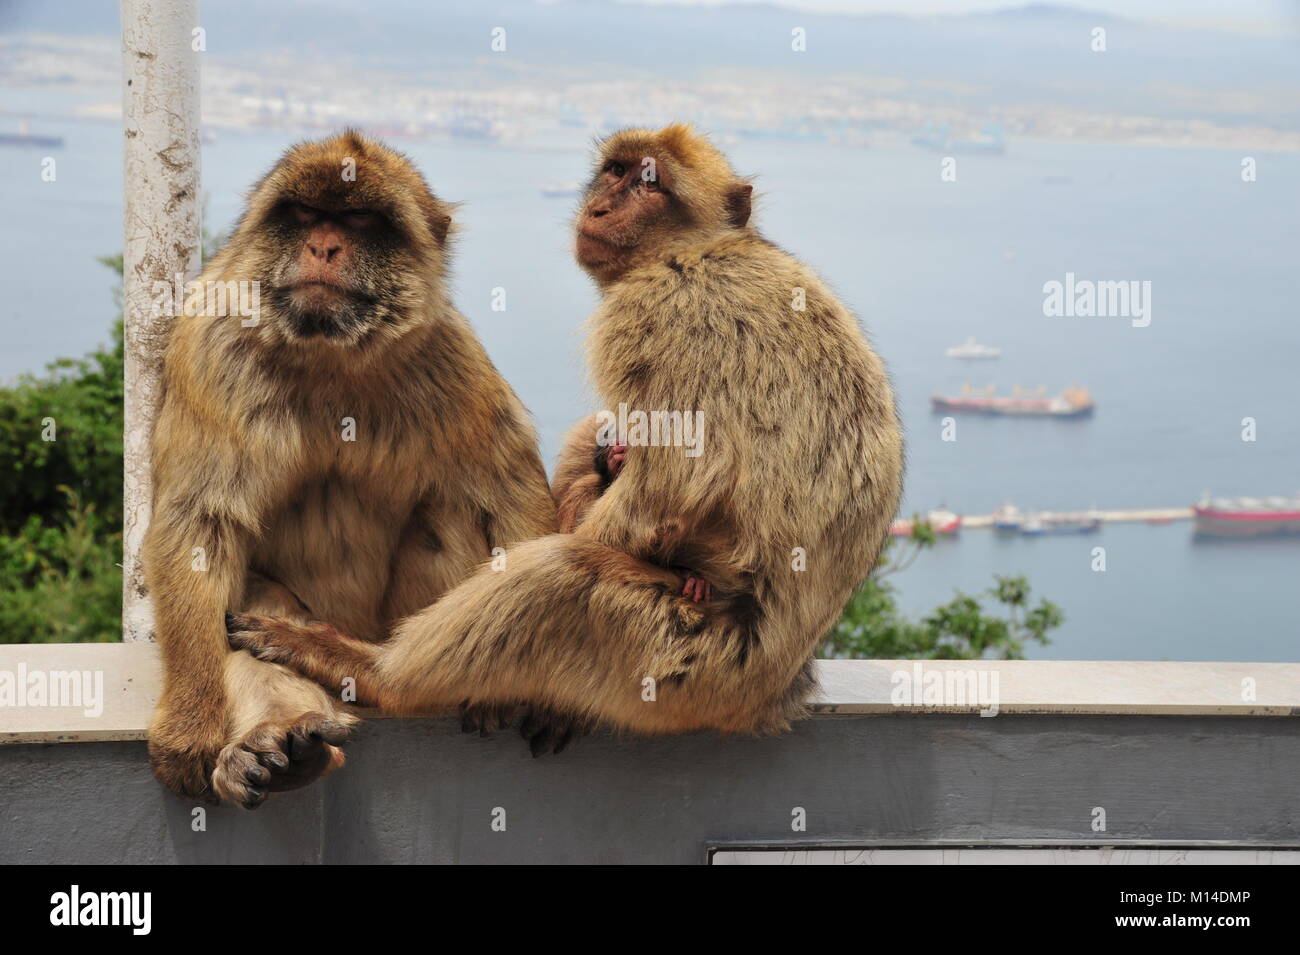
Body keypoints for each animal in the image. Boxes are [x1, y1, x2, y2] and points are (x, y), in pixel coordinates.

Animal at [145, 131, 557, 806]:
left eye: (361, 219)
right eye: (305, 213)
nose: (324, 246)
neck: (328, 354)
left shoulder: (453, 357)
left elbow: (510, 497)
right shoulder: (212, 347)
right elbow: (200, 524)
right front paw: (190, 720)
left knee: (451, 515)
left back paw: (376, 676)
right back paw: (284, 743)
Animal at [226, 123, 903, 751]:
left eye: (650, 183)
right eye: (615, 172)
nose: (599, 208)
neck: (701, 248)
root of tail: (777, 688)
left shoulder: (654, 308)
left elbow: (677, 480)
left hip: (687, 663)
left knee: (565, 574)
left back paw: (374, 672)